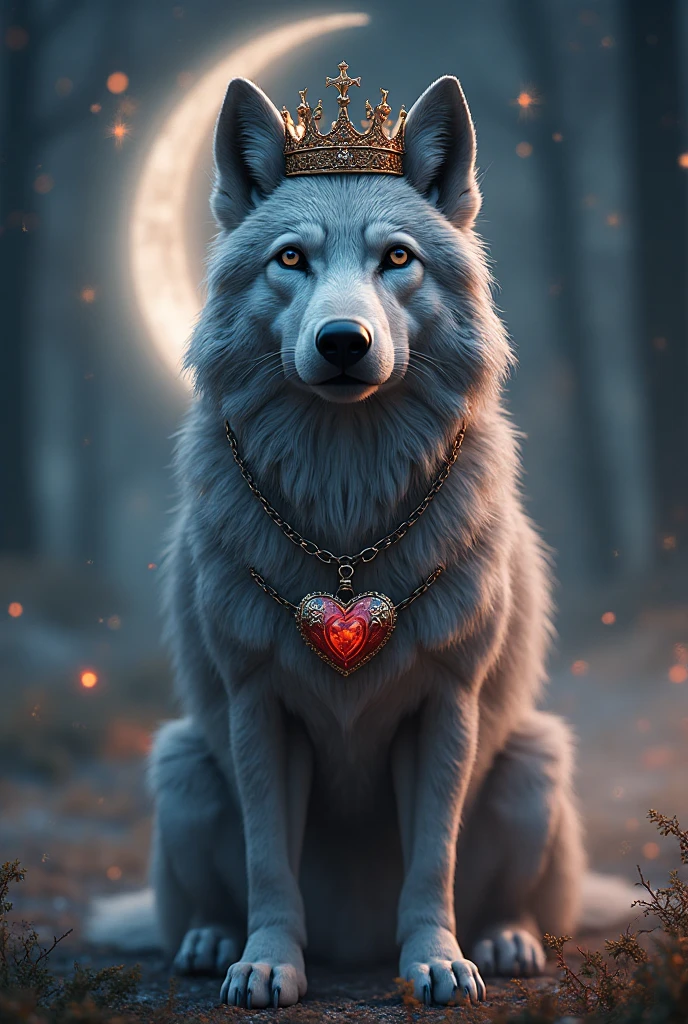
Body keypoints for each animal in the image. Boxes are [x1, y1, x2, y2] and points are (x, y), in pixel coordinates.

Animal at [98, 73, 630, 1007]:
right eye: (291, 260)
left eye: (396, 259)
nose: (343, 342)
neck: (345, 527)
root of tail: (354, 943)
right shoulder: (255, 705)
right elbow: (268, 866)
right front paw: (267, 964)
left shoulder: (448, 703)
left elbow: (432, 863)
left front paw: (436, 963)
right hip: (182, 763)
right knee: (201, 900)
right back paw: (209, 941)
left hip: (534, 763)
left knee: (519, 900)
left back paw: (505, 942)